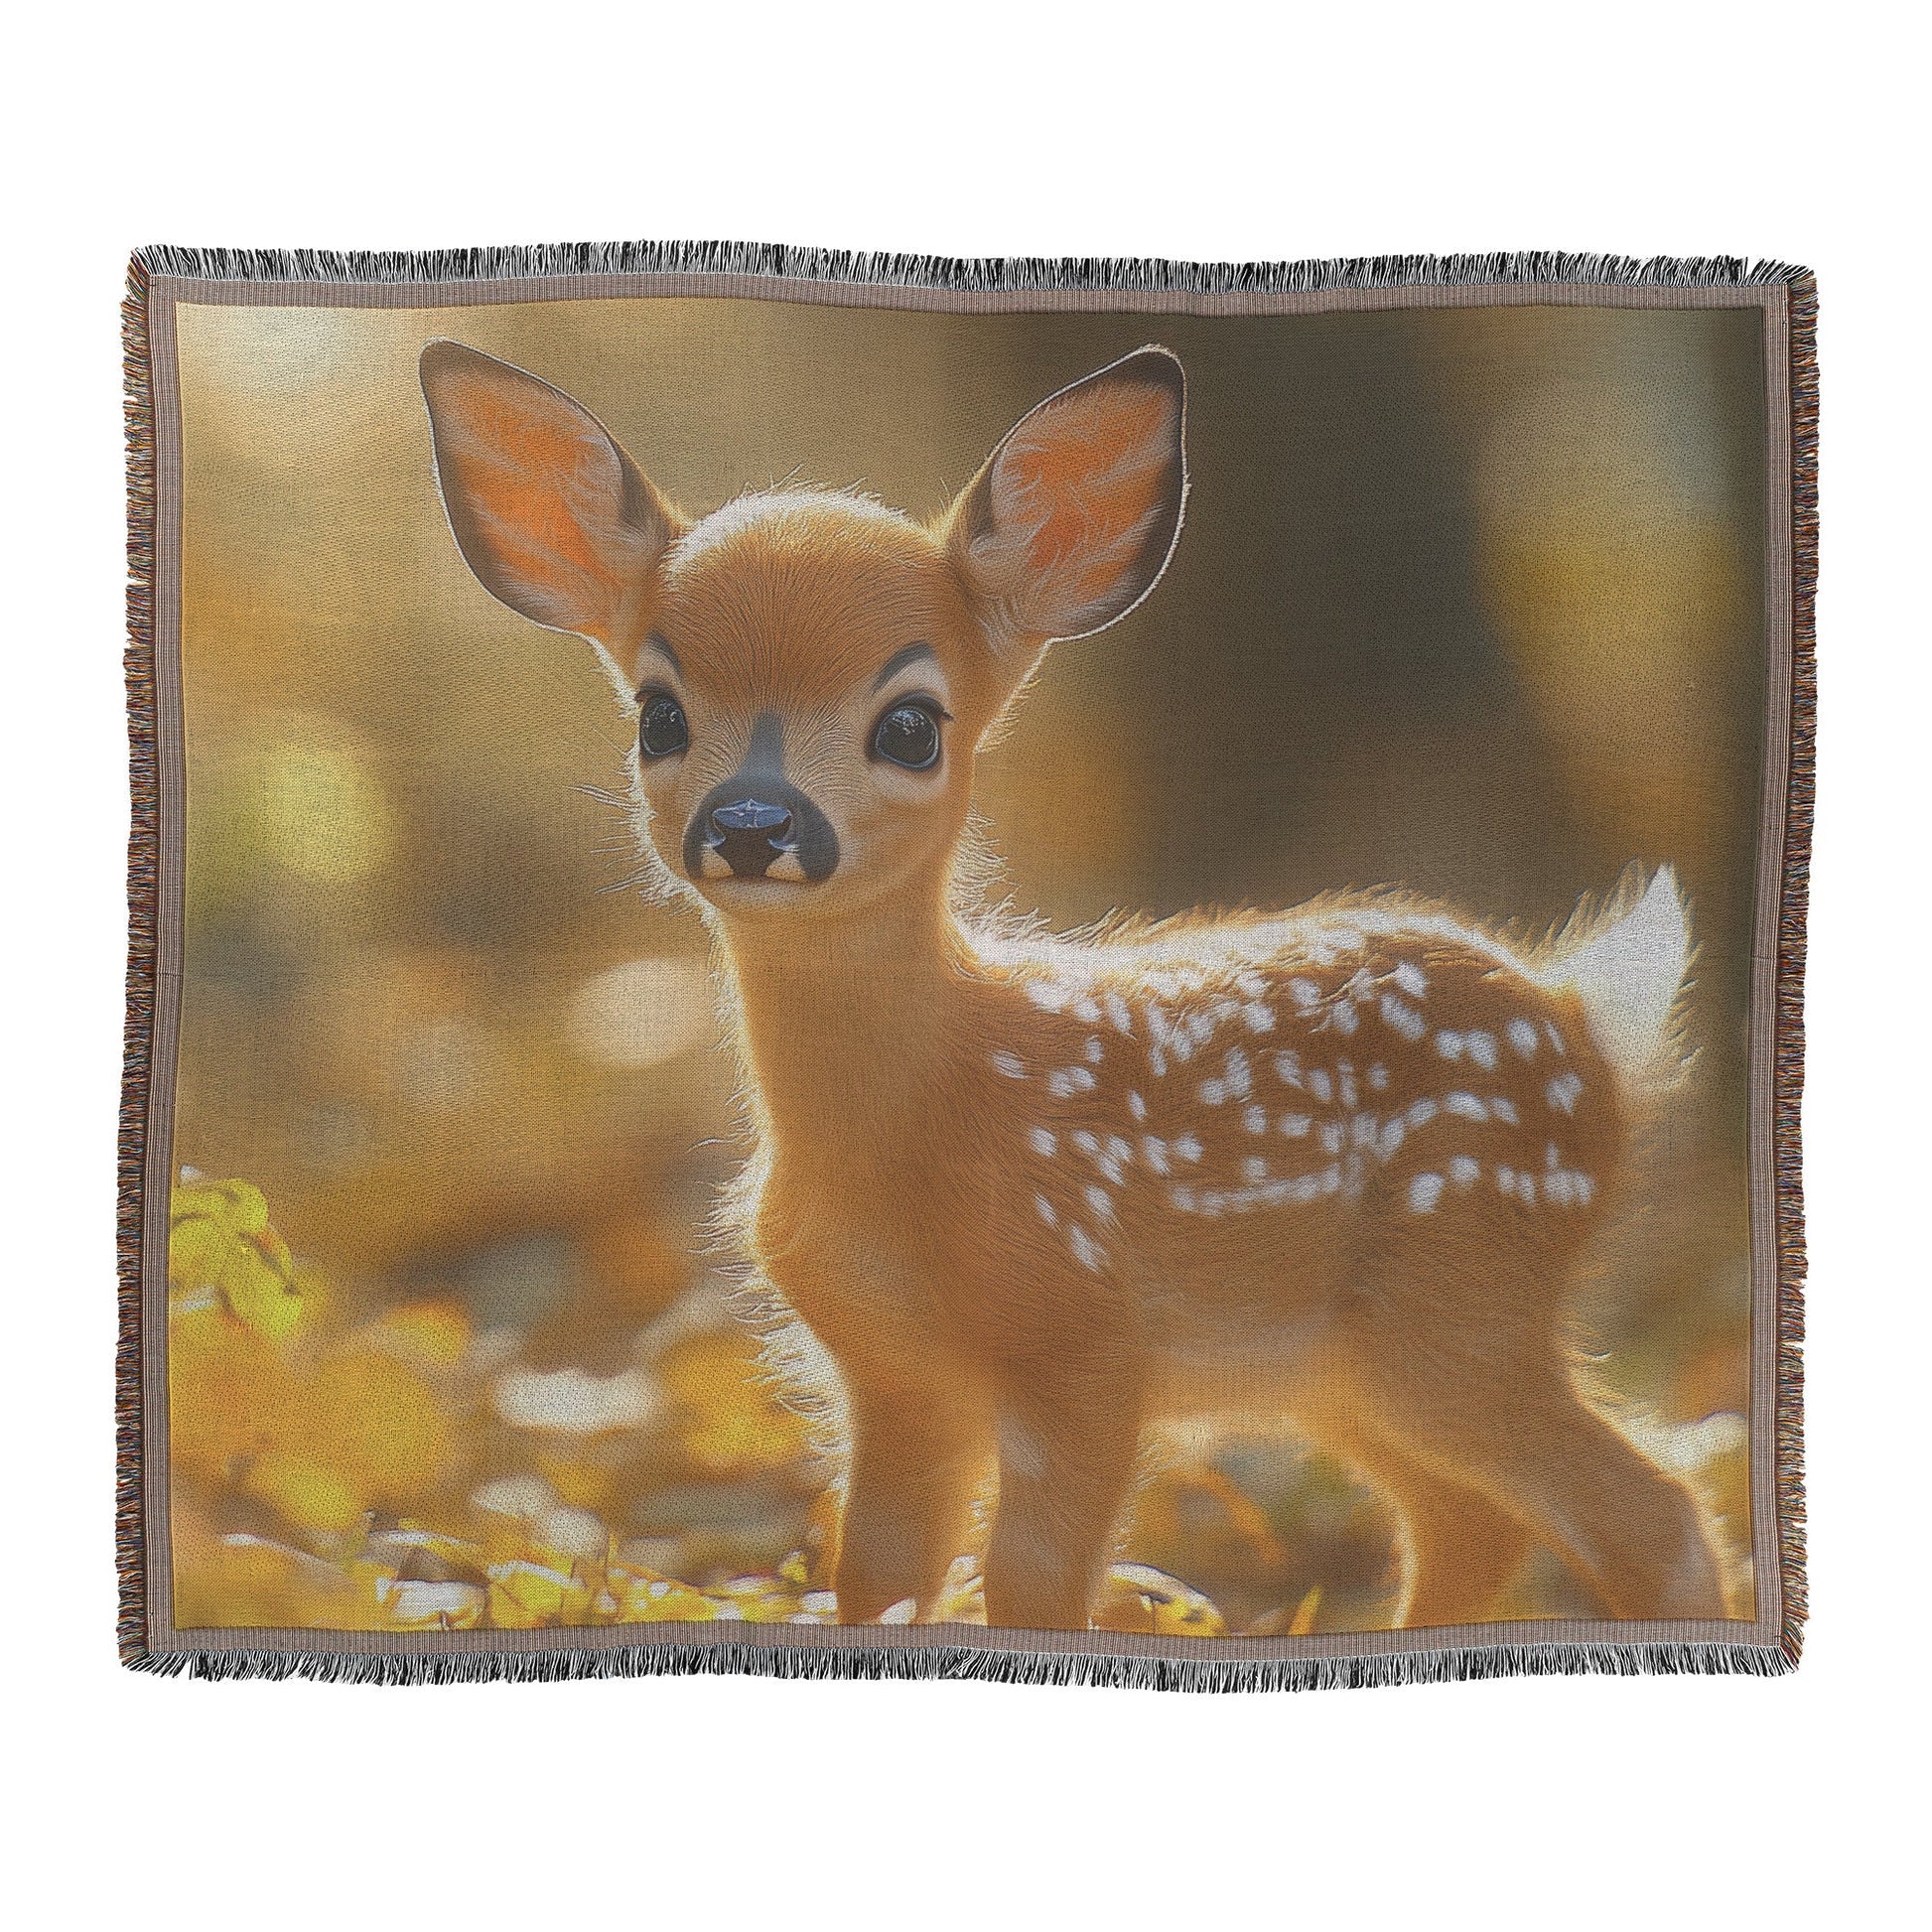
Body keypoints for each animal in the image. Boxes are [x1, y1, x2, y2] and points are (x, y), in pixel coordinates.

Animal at [419, 336, 1726, 1633]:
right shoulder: (891, 1368)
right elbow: (876, 1573)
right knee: (1470, 1521)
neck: (917, 1119)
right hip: (1339, 1362)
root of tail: (1583, 1018)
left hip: (1459, 1292)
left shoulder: (1083, 1329)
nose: (751, 824)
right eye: (658, 714)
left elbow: (1033, 1579)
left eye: (910, 725)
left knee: (1649, 1507)